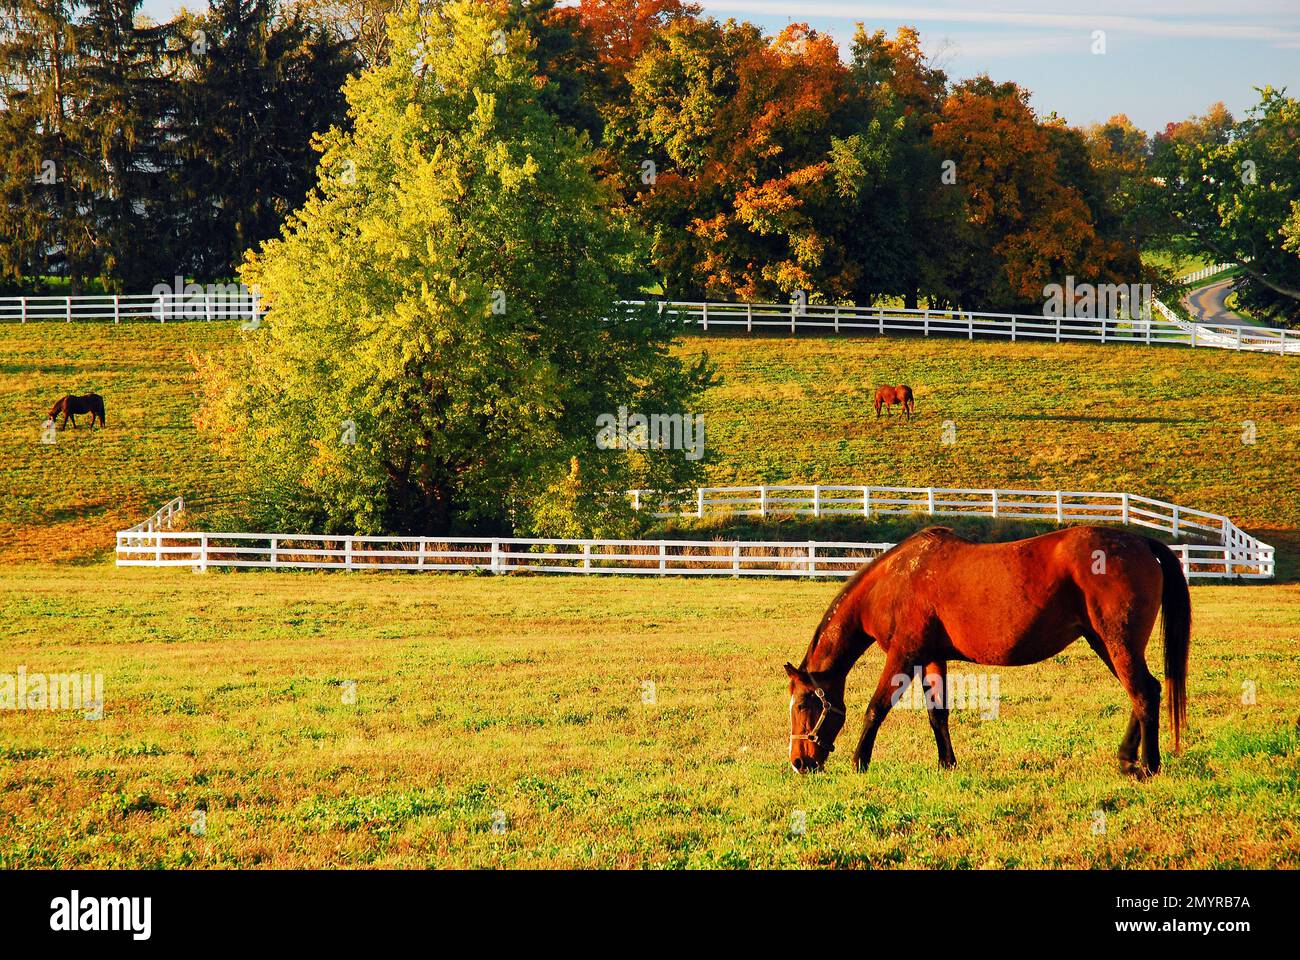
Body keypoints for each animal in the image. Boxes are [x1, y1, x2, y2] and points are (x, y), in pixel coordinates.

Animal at [785, 525, 1190, 779]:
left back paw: (1147, 766)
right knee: (1145, 691)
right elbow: (938, 714)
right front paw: (947, 763)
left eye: (804, 704)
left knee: (1143, 692)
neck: (896, 581)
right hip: (1106, 643)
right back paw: (1127, 759)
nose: (799, 762)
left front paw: (859, 761)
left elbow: (876, 708)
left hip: (1117, 643)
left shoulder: (904, 656)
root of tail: (1142, 541)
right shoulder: (932, 658)